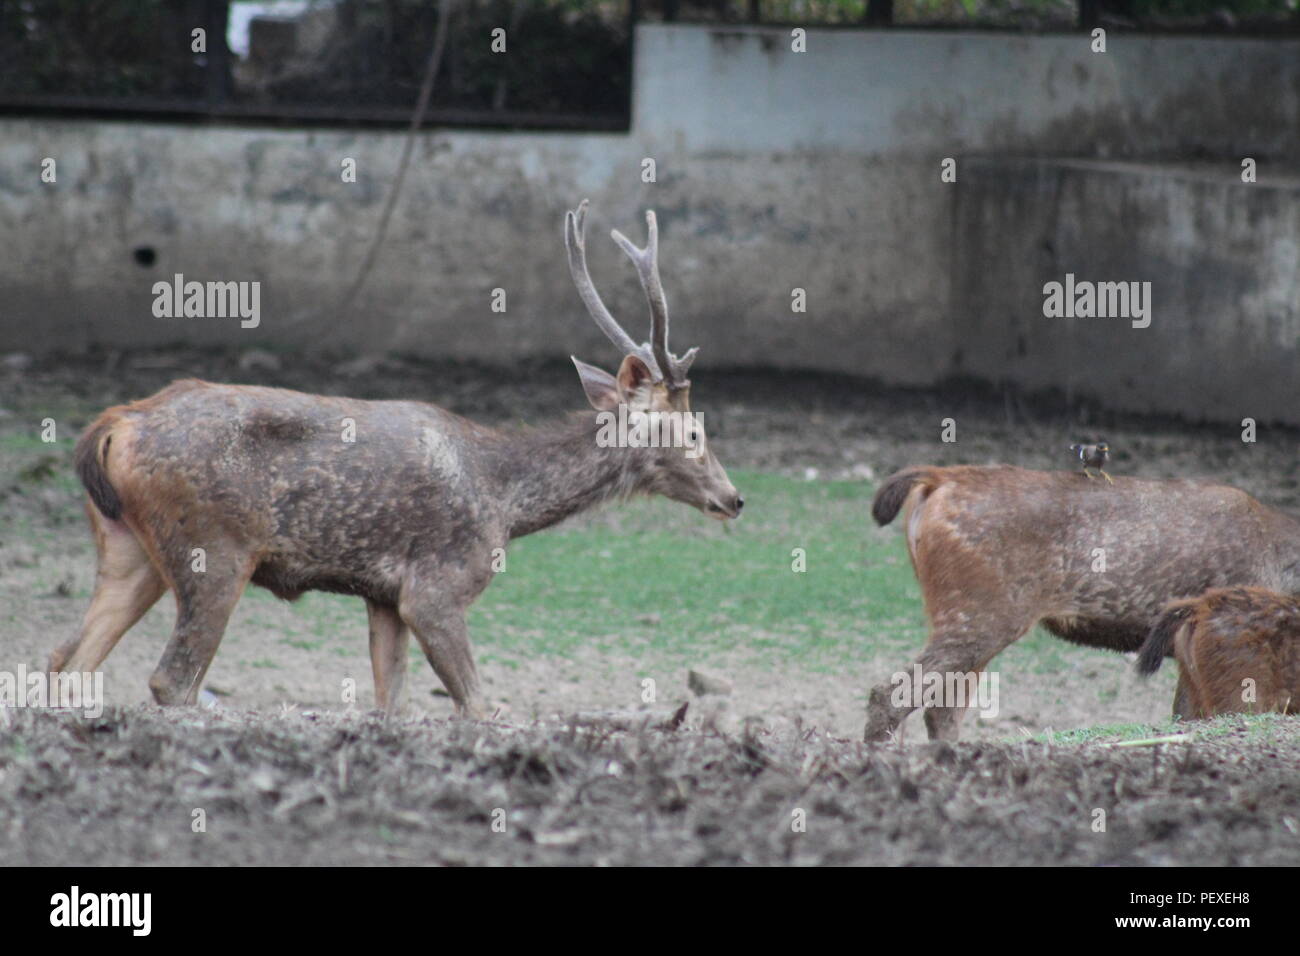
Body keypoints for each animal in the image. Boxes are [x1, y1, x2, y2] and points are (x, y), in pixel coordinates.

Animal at [47, 200, 743, 717]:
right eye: (690, 431)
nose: (734, 498)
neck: (504, 498)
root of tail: (114, 427)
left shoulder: (383, 596)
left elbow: (394, 703)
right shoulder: (437, 586)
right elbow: (478, 706)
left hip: (127, 549)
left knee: (67, 662)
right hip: (213, 547)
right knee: (171, 680)